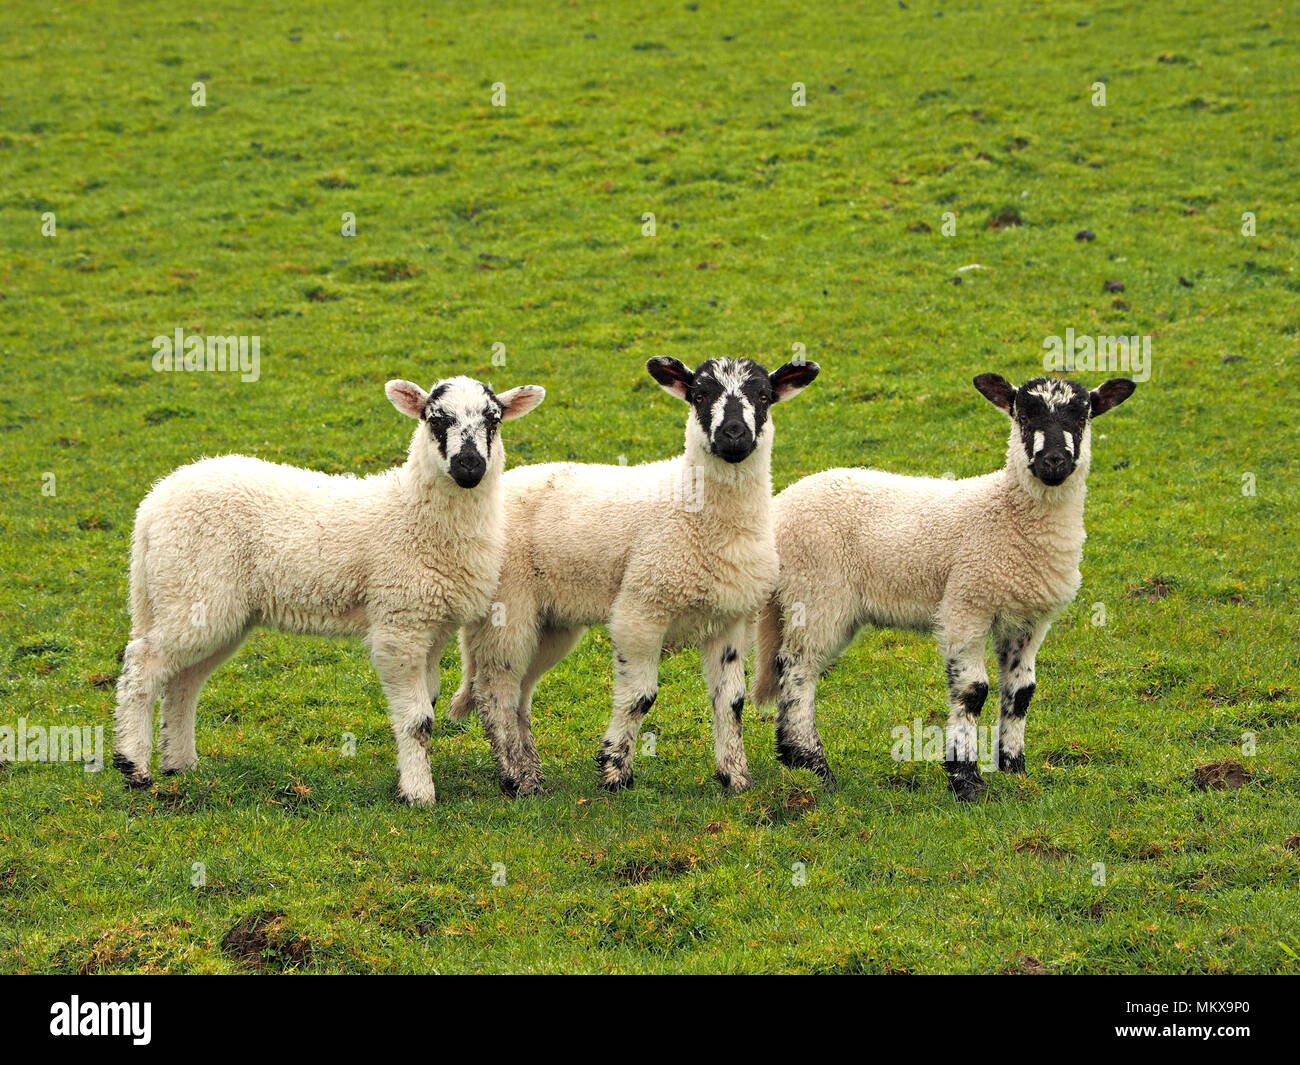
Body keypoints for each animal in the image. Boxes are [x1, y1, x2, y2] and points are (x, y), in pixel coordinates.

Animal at [112, 375, 545, 807]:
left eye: (493, 419)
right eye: (436, 419)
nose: (469, 466)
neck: (412, 510)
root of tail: (153, 504)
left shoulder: (433, 627)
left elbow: (429, 707)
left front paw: (411, 777)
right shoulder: (399, 622)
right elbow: (417, 720)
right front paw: (418, 795)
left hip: (209, 606)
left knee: (183, 682)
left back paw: (180, 764)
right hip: (194, 591)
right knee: (144, 662)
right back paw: (134, 766)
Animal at [447, 356, 820, 795]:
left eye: (763, 395)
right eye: (699, 395)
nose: (733, 433)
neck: (698, 513)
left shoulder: (731, 620)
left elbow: (731, 701)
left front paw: (735, 777)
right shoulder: (641, 609)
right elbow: (640, 697)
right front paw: (614, 771)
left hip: (550, 621)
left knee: (520, 690)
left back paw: (531, 770)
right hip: (507, 607)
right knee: (495, 691)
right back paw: (518, 781)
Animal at [752, 374, 1136, 800]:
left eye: (1082, 415)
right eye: (1023, 414)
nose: (1053, 461)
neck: (1009, 514)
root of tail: (782, 507)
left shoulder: (1030, 620)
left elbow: (1021, 693)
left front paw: (1014, 770)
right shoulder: (966, 603)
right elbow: (973, 691)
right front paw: (965, 779)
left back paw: (795, 758)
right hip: (816, 592)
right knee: (798, 669)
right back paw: (814, 765)